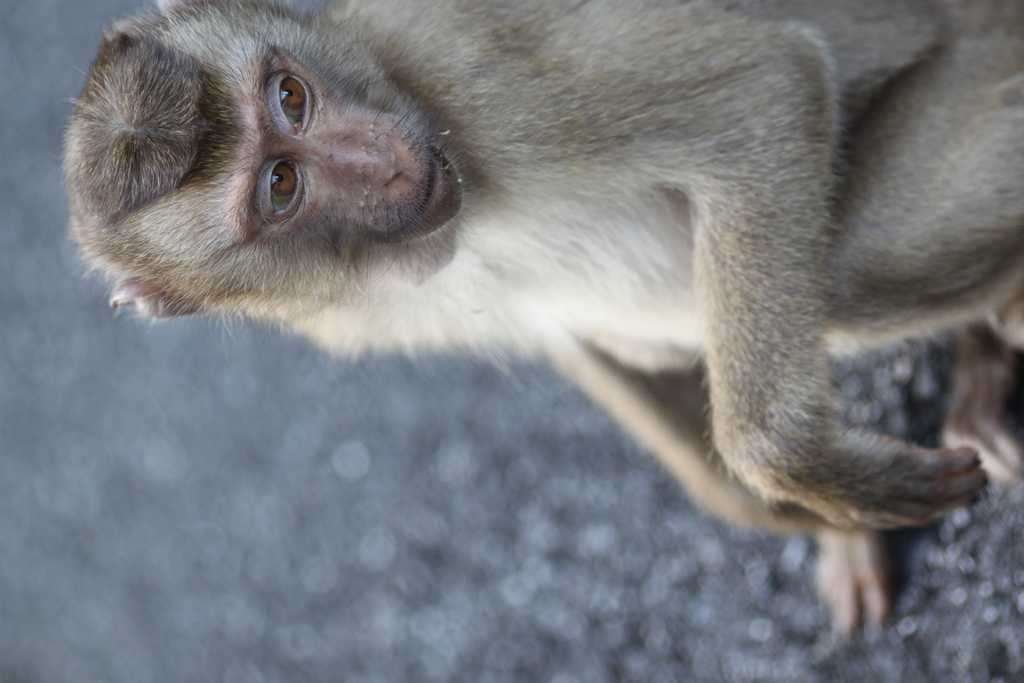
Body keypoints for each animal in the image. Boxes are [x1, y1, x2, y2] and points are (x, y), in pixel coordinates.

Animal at [64, 0, 1024, 634]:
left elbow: (764, 89)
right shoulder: (348, 311)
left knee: (850, 270)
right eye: (282, 185)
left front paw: (796, 466)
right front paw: (830, 526)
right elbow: (580, 346)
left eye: (290, 96)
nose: (380, 160)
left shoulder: (476, 67)